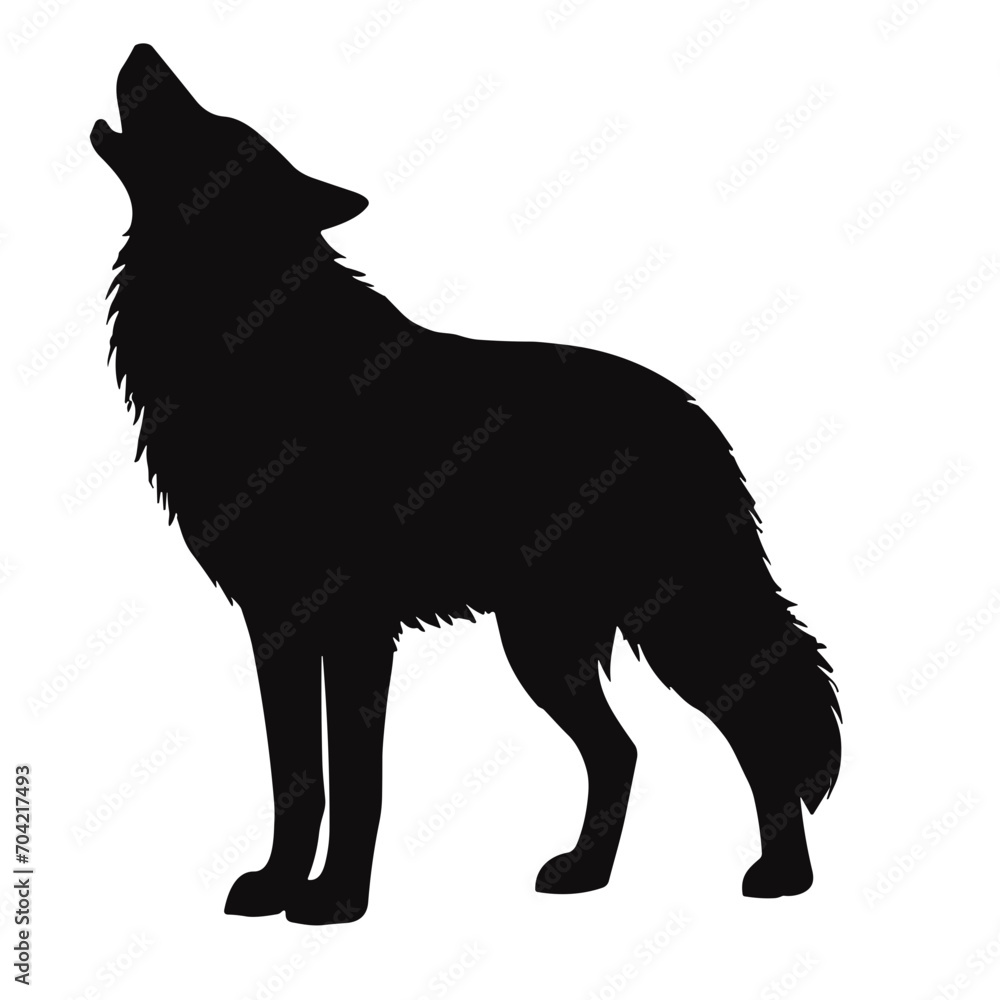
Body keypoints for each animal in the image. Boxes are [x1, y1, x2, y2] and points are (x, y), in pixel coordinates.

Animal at [91, 44, 841, 925]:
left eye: (209, 127)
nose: (141, 49)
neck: (250, 342)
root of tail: (701, 420)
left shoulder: (354, 627)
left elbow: (358, 779)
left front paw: (335, 900)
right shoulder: (277, 626)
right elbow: (294, 780)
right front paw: (278, 885)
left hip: (672, 625)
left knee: (764, 724)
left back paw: (783, 877)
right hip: (543, 648)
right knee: (621, 751)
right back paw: (585, 873)